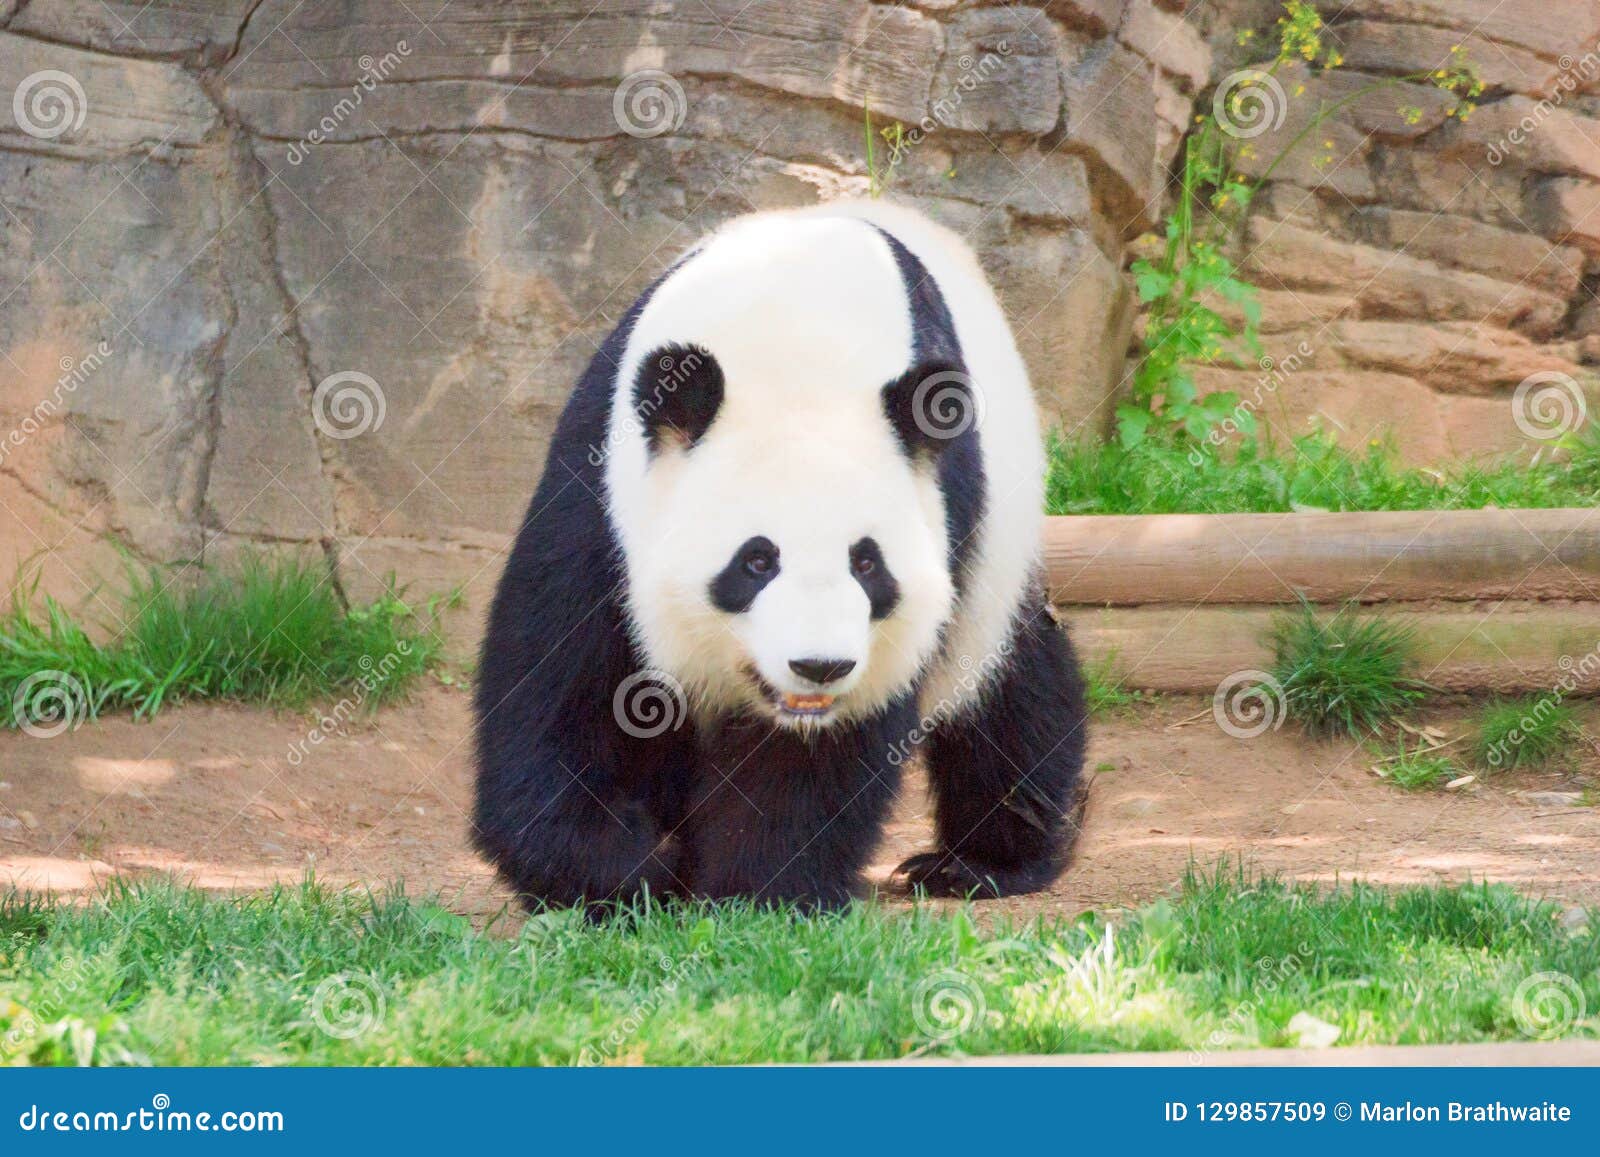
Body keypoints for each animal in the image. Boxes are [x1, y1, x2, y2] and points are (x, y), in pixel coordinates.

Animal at [473, 200, 1088, 912]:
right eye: (757, 561)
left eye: (867, 563)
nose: (819, 666)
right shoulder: (603, 493)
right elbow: (562, 692)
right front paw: (632, 870)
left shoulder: (939, 511)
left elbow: (814, 761)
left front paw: (756, 892)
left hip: (998, 558)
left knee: (1007, 690)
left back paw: (978, 862)